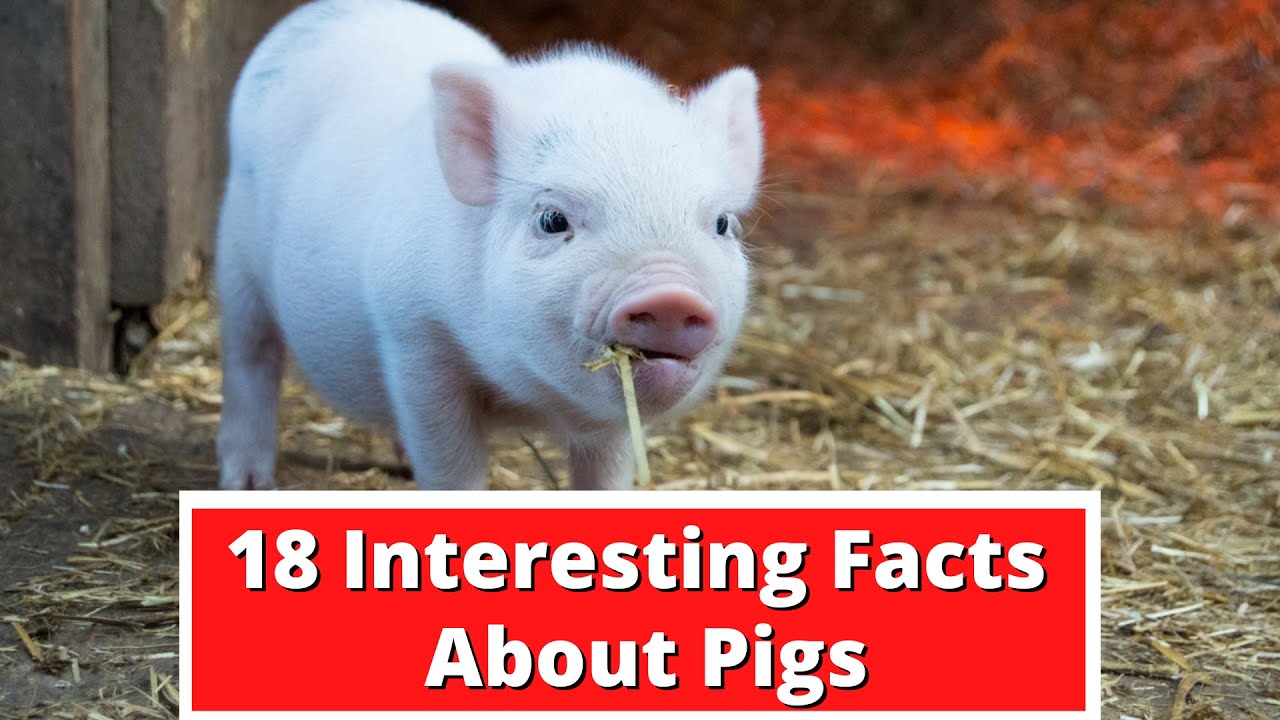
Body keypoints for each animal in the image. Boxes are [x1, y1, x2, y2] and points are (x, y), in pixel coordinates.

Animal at [215, 0, 762, 491]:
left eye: (721, 223)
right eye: (552, 220)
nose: (670, 294)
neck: (525, 398)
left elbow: (605, 475)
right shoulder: (414, 340)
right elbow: (451, 467)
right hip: (235, 255)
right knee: (251, 357)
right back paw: (247, 483)